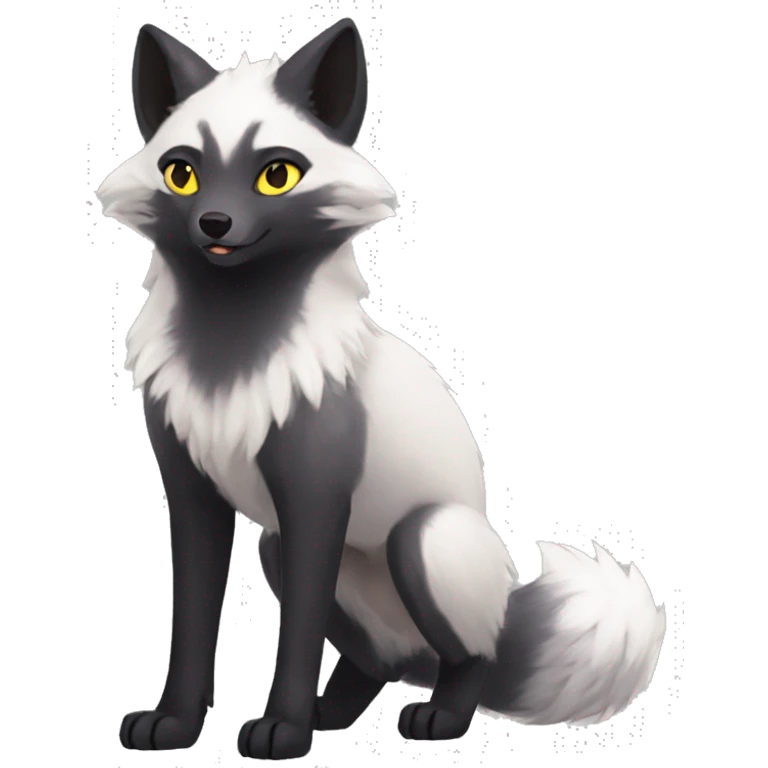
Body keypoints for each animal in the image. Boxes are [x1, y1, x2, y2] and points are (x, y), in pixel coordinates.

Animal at [101, 19, 666, 759]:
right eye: (182, 172)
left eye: (276, 174)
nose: (214, 224)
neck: (230, 356)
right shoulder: (194, 493)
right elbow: (193, 624)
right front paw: (175, 723)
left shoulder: (317, 501)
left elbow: (297, 634)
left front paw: (281, 730)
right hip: (281, 549)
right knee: (379, 661)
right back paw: (332, 714)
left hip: (423, 543)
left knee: (470, 656)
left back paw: (440, 719)